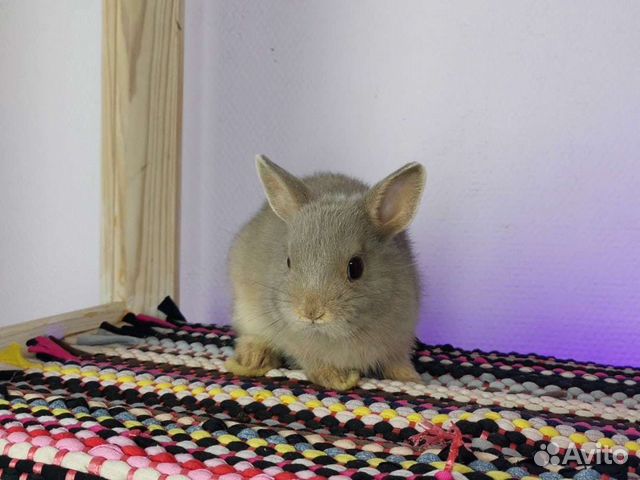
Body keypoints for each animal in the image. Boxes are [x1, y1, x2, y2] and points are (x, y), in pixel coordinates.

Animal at [225, 155, 426, 391]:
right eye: (289, 261)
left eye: (355, 267)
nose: (311, 312)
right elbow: (316, 364)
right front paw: (337, 380)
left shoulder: (400, 340)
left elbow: (397, 362)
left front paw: (413, 380)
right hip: (246, 309)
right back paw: (253, 359)